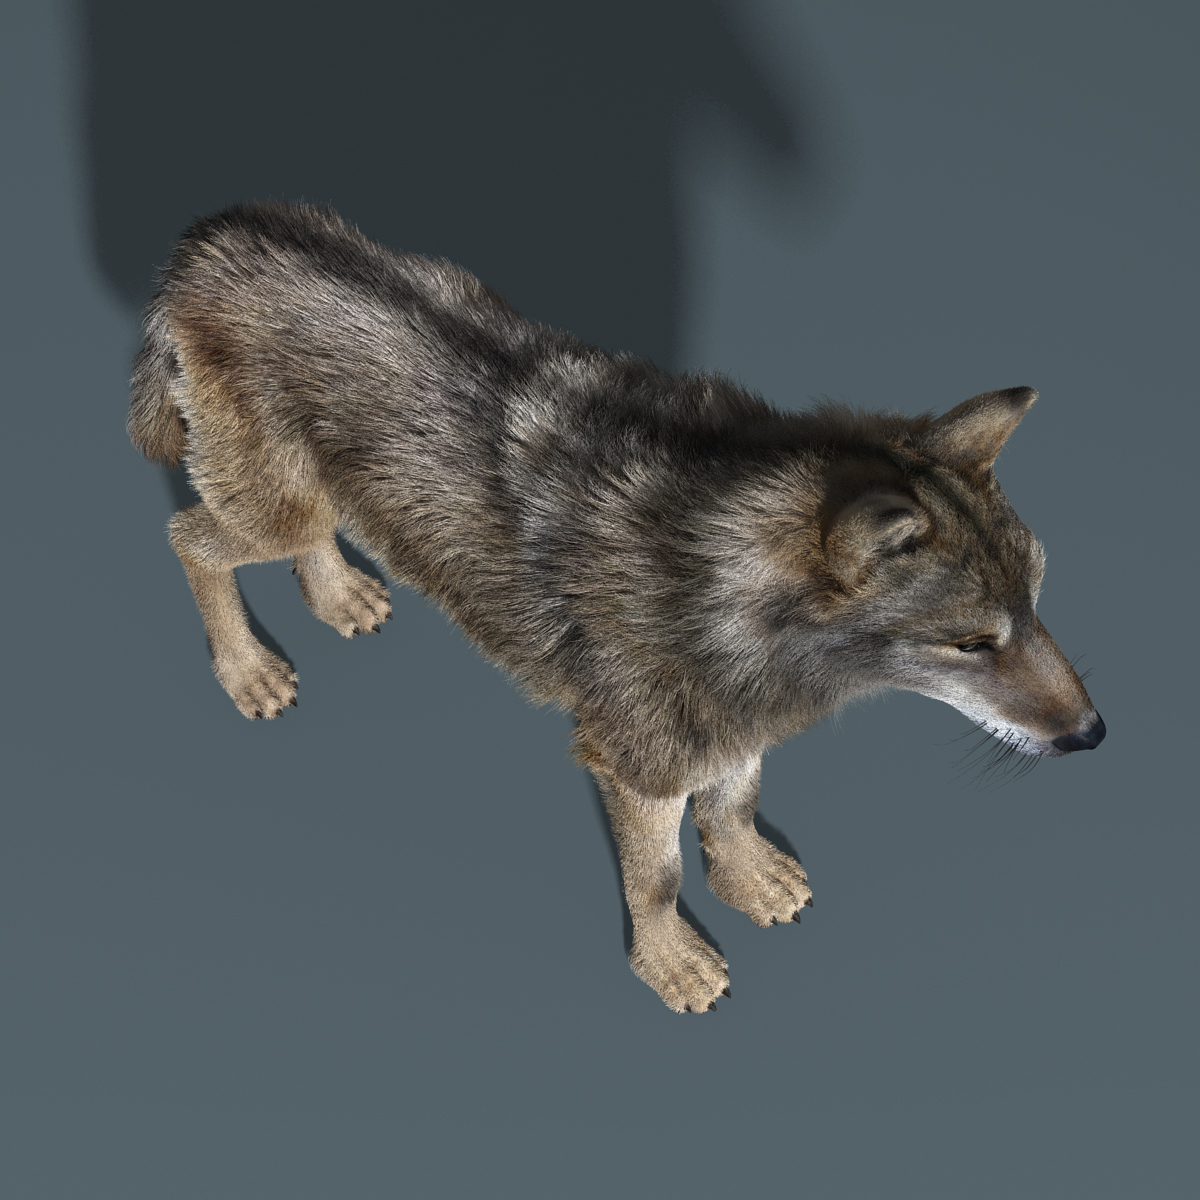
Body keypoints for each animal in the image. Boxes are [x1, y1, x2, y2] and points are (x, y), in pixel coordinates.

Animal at [129, 202, 1105, 1012]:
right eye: (971, 643)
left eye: (1037, 601)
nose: (1094, 736)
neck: (722, 581)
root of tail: (214, 232)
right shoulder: (638, 763)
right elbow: (660, 878)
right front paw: (671, 963)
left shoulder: (727, 722)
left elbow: (736, 803)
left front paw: (750, 879)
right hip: (274, 506)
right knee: (189, 536)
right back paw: (248, 671)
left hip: (315, 494)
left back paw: (340, 597)